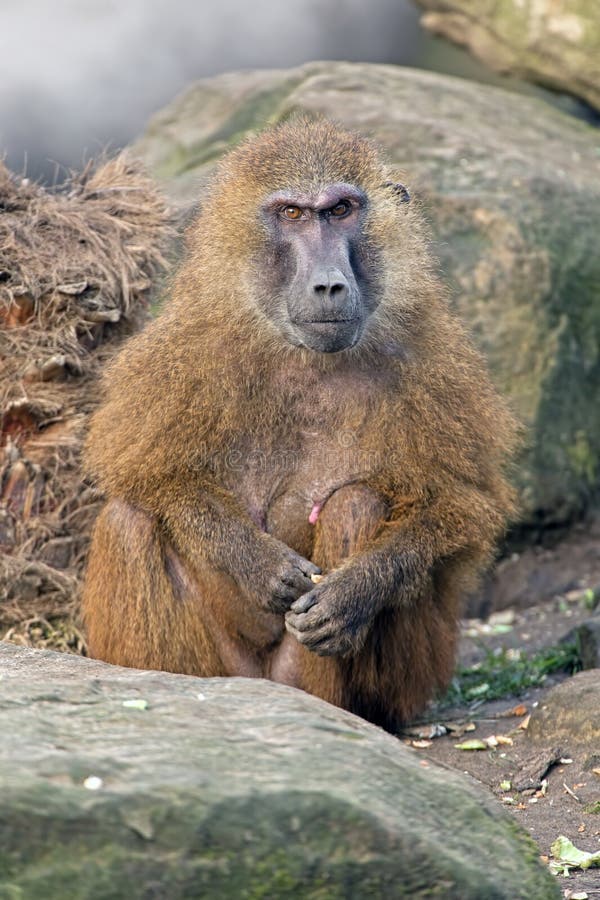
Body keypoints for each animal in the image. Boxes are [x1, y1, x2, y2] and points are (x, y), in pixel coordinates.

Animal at [82, 117, 516, 731]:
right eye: (291, 214)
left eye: (341, 210)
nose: (329, 285)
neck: (306, 356)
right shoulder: (188, 348)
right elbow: (141, 472)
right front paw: (257, 563)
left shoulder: (430, 358)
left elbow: (464, 505)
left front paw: (354, 592)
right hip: (225, 668)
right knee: (128, 520)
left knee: (355, 504)